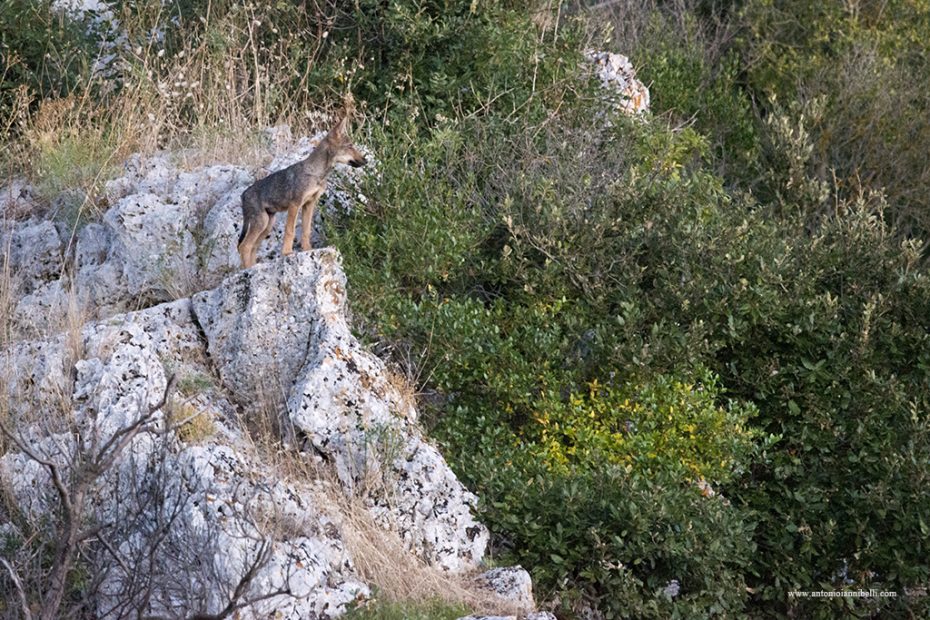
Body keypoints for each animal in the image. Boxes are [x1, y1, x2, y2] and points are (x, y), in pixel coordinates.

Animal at [237, 96, 367, 268]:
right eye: (350, 146)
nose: (365, 160)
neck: (317, 174)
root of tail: (243, 194)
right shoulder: (295, 204)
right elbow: (290, 231)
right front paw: (287, 253)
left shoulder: (309, 204)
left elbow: (306, 230)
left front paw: (307, 249)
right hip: (261, 223)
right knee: (244, 246)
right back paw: (247, 270)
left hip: (267, 224)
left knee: (251, 247)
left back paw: (252, 268)